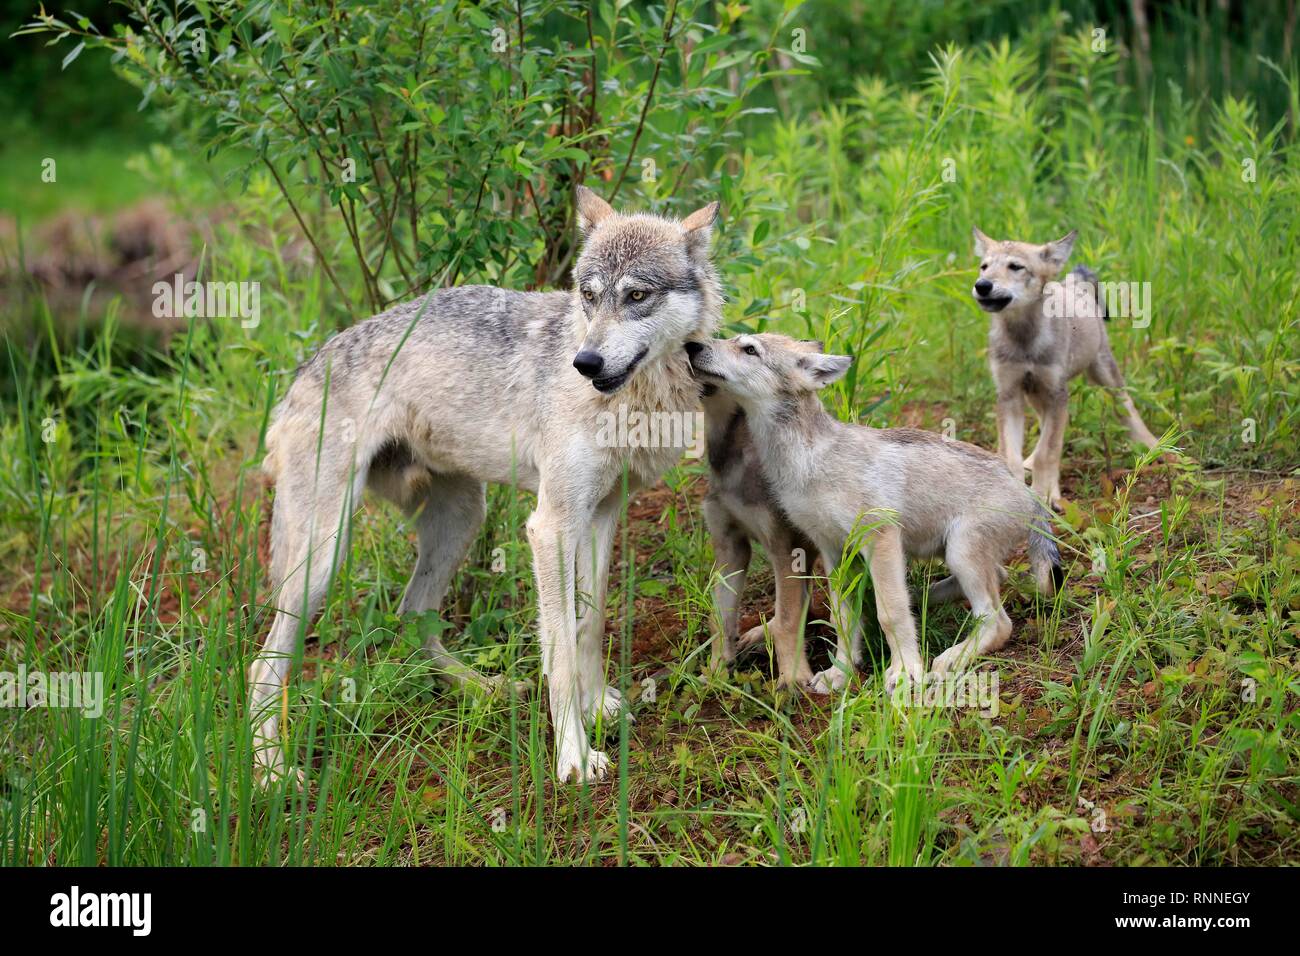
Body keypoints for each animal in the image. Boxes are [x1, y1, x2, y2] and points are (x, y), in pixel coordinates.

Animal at [250, 187, 721, 784]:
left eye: (636, 295)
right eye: (588, 296)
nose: (586, 362)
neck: (633, 403)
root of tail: (302, 374)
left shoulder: (600, 516)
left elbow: (588, 627)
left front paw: (598, 707)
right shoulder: (550, 528)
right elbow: (559, 650)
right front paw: (574, 757)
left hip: (460, 521)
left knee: (411, 617)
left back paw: (484, 689)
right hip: (324, 556)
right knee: (263, 664)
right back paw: (271, 773)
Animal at [686, 334, 1062, 686]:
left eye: (750, 349)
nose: (692, 346)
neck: (808, 460)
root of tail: (1028, 493)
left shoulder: (879, 538)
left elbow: (889, 612)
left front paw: (906, 671)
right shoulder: (833, 552)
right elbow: (845, 617)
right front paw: (839, 674)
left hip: (960, 552)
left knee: (998, 621)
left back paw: (950, 657)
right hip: (948, 553)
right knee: (995, 580)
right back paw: (923, 604)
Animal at [971, 227, 1164, 509]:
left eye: (1015, 267)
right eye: (984, 267)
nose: (982, 285)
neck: (1024, 340)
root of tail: (1073, 283)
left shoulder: (1056, 394)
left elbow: (1049, 451)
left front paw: (1045, 494)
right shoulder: (1009, 394)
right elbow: (1013, 455)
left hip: (1103, 376)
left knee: (1127, 409)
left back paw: (1154, 447)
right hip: (1038, 394)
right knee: (1046, 428)